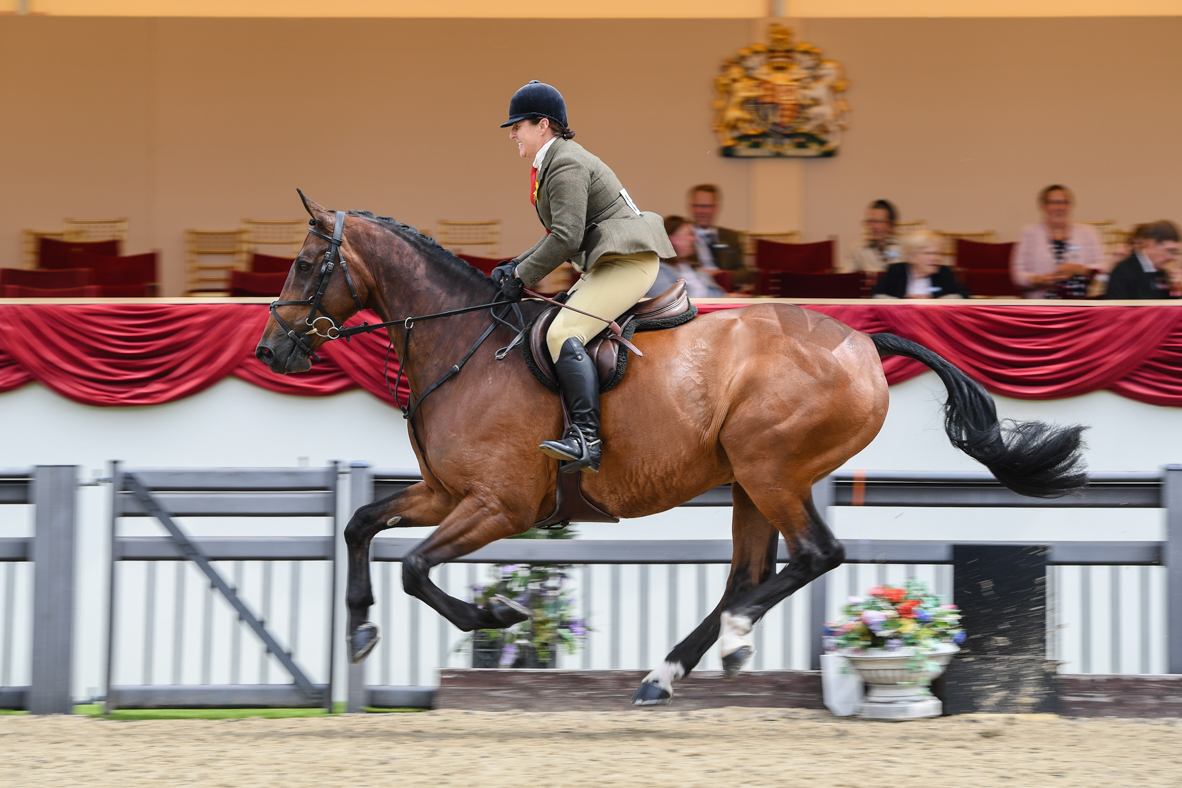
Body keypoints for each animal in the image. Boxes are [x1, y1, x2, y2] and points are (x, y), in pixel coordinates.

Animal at [255, 194, 1087, 705]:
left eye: (305, 265)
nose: (271, 350)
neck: (464, 344)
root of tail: (862, 340)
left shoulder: (499, 505)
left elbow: (418, 569)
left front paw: (495, 617)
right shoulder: (446, 494)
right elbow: (361, 525)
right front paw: (360, 628)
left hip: (771, 470)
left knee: (812, 556)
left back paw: (732, 641)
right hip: (749, 481)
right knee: (749, 574)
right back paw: (670, 670)